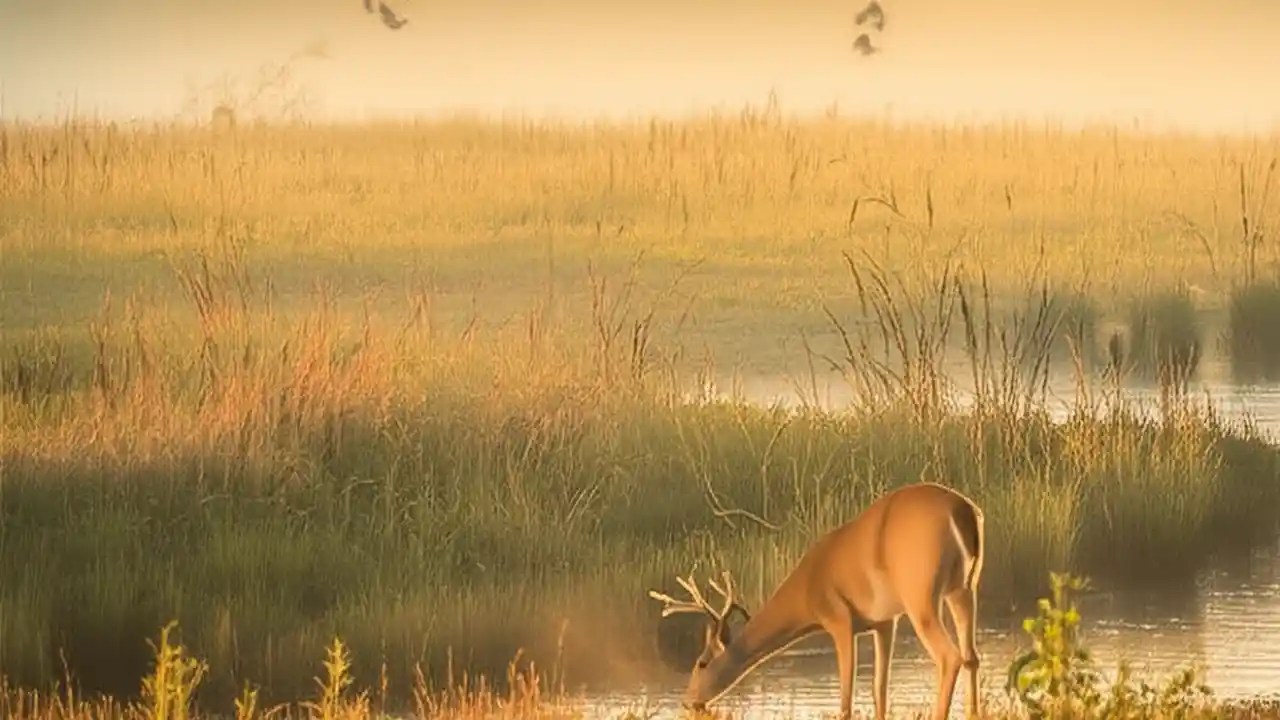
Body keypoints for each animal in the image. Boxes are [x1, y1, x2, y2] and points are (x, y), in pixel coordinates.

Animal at [648, 482, 985, 720]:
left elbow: (847, 699)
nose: (688, 700)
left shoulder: (838, 617)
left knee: (950, 656)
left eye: (701, 663)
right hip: (964, 588)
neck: (806, 591)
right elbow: (879, 691)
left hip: (921, 594)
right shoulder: (884, 621)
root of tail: (963, 510)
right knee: (971, 655)